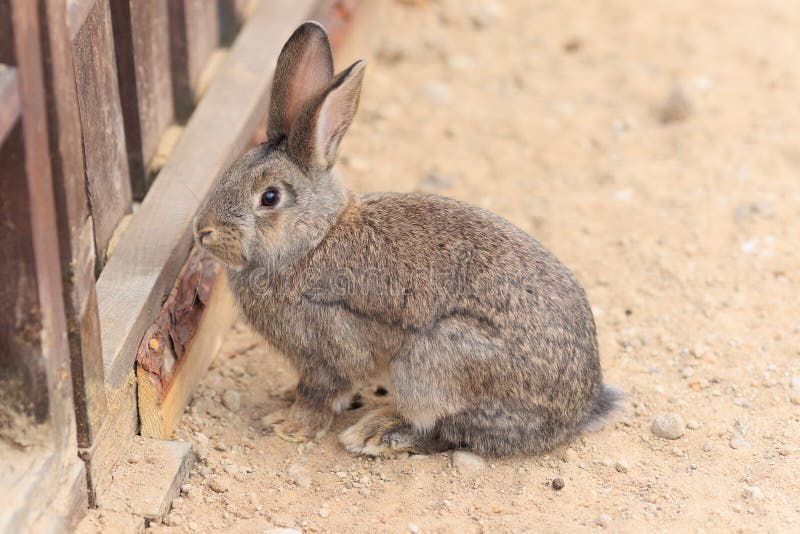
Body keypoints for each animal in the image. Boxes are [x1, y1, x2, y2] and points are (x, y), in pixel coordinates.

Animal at [193, 21, 620, 457]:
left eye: (270, 198)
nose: (202, 230)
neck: (314, 238)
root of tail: (576, 413)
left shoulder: (327, 348)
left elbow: (320, 392)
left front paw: (289, 425)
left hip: (433, 364)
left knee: (444, 429)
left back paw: (376, 431)